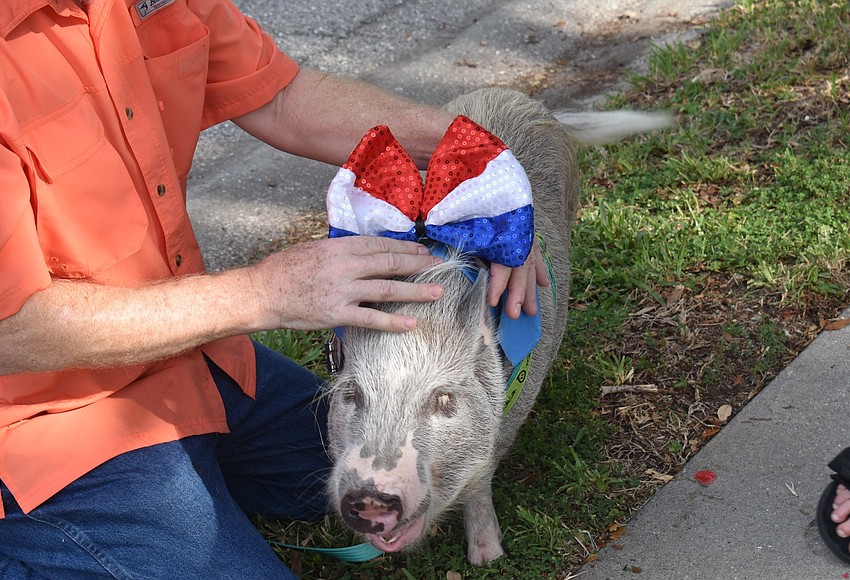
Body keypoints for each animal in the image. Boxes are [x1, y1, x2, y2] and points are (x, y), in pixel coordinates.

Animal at [325, 88, 670, 565]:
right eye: (352, 395)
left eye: (444, 399)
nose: (369, 497)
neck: (424, 309)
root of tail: (519, 98)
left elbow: (480, 480)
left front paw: (487, 558)